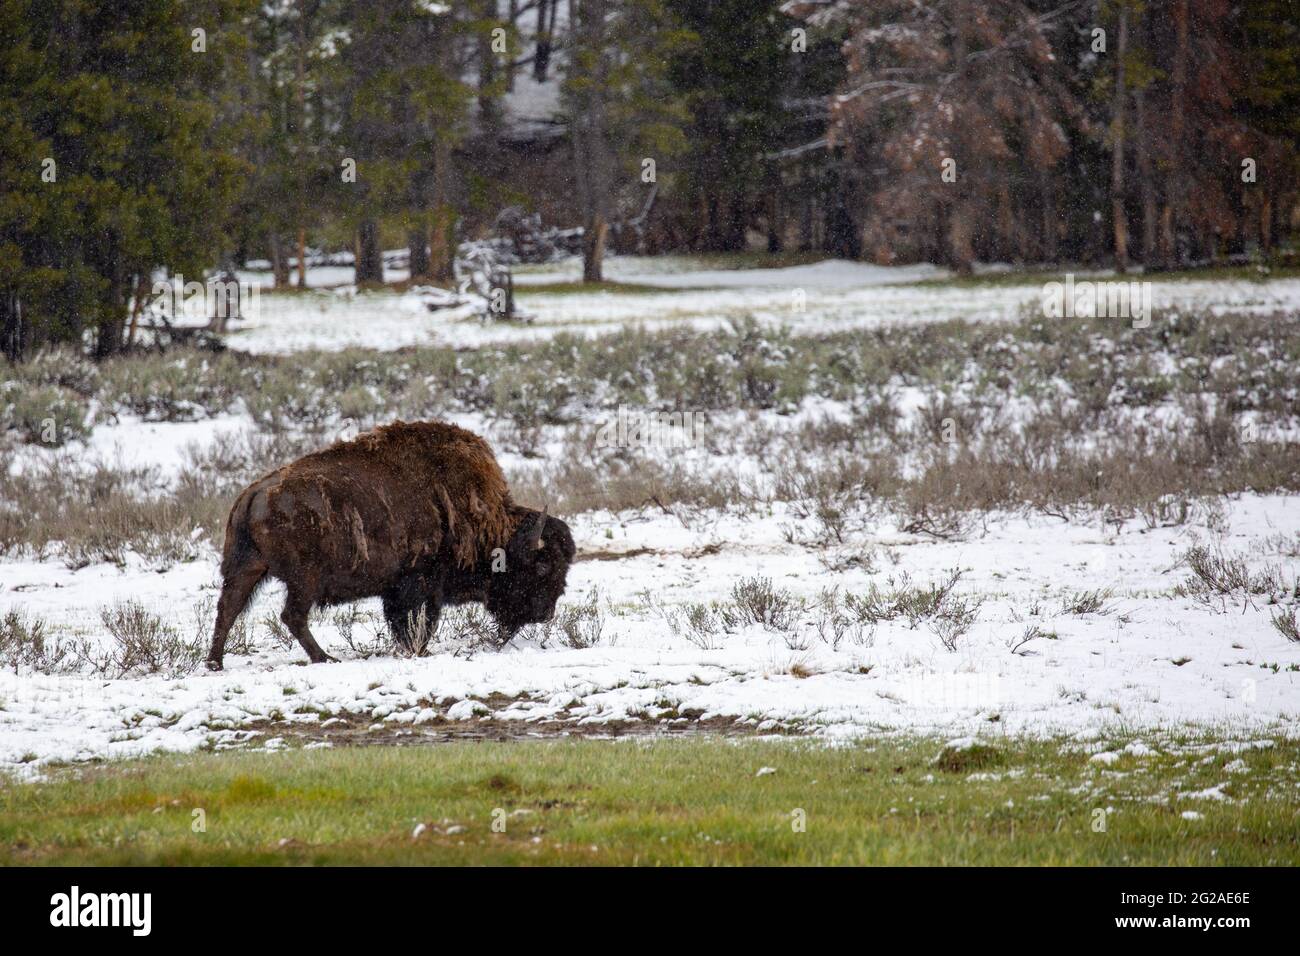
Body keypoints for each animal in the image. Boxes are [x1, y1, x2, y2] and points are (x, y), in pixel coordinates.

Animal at [205, 420, 575, 670]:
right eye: (543, 566)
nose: (545, 613)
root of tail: (254, 494)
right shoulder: (419, 585)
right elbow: (416, 622)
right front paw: (417, 650)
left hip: (247, 569)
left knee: (228, 609)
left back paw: (215, 663)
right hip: (303, 579)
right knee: (291, 615)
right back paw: (325, 658)